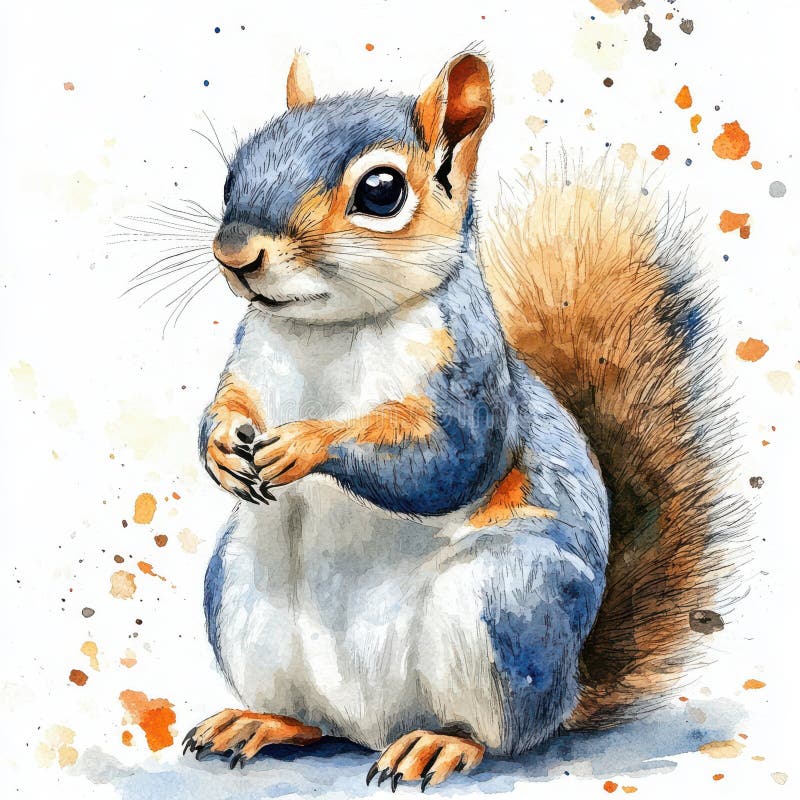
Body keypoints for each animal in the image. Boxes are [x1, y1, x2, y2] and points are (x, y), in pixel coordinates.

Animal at [182, 51, 746, 789]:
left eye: (382, 191)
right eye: (235, 171)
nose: (236, 253)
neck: (329, 330)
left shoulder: (472, 380)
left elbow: (448, 461)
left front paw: (309, 441)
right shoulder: (253, 360)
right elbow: (228, 407)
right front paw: (223, 447)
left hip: (504, 604)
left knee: (500, 734)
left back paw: (440, 745)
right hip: (240, 591)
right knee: (311, 718)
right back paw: (262, 721)